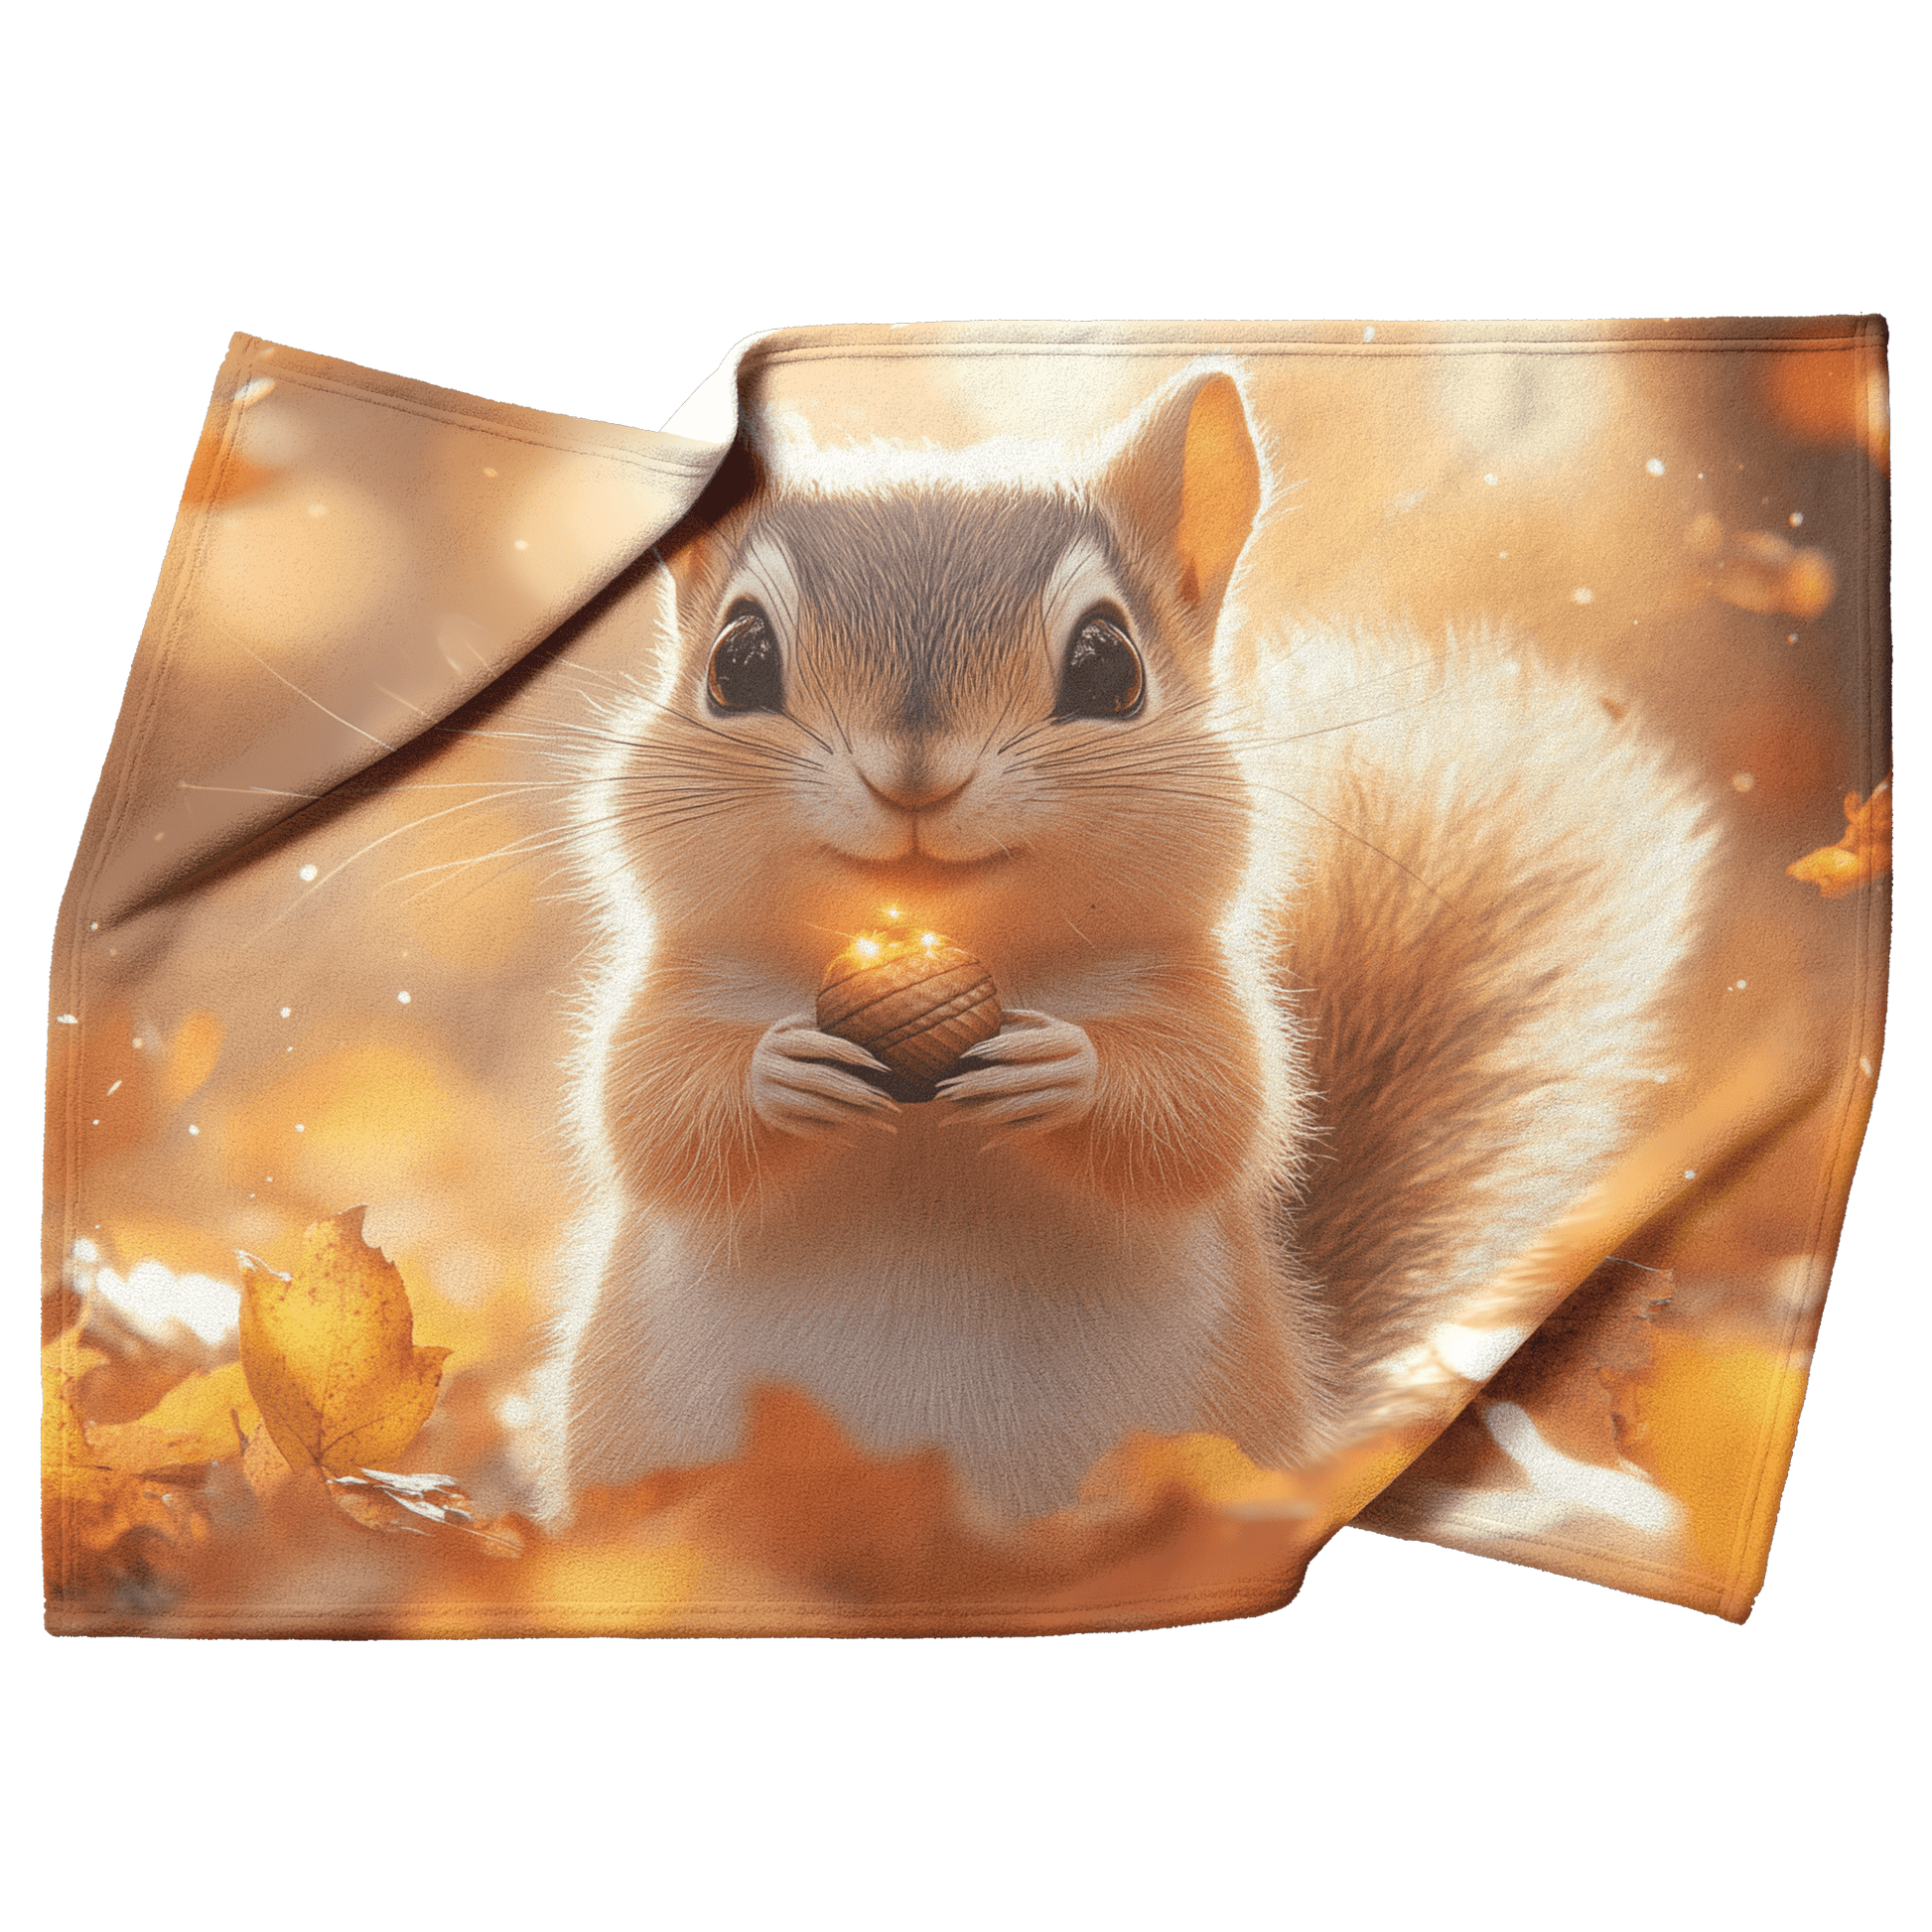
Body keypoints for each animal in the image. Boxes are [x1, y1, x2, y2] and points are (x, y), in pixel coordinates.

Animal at [526, 362, 1714, 1523]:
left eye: (1109, 667)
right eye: (737, 660)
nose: (914, 777)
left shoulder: (1206, 998)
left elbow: (1207, 1108)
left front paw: (1068, 1066)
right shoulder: (670, 989)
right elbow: (648, 1106)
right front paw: (781, 1068)